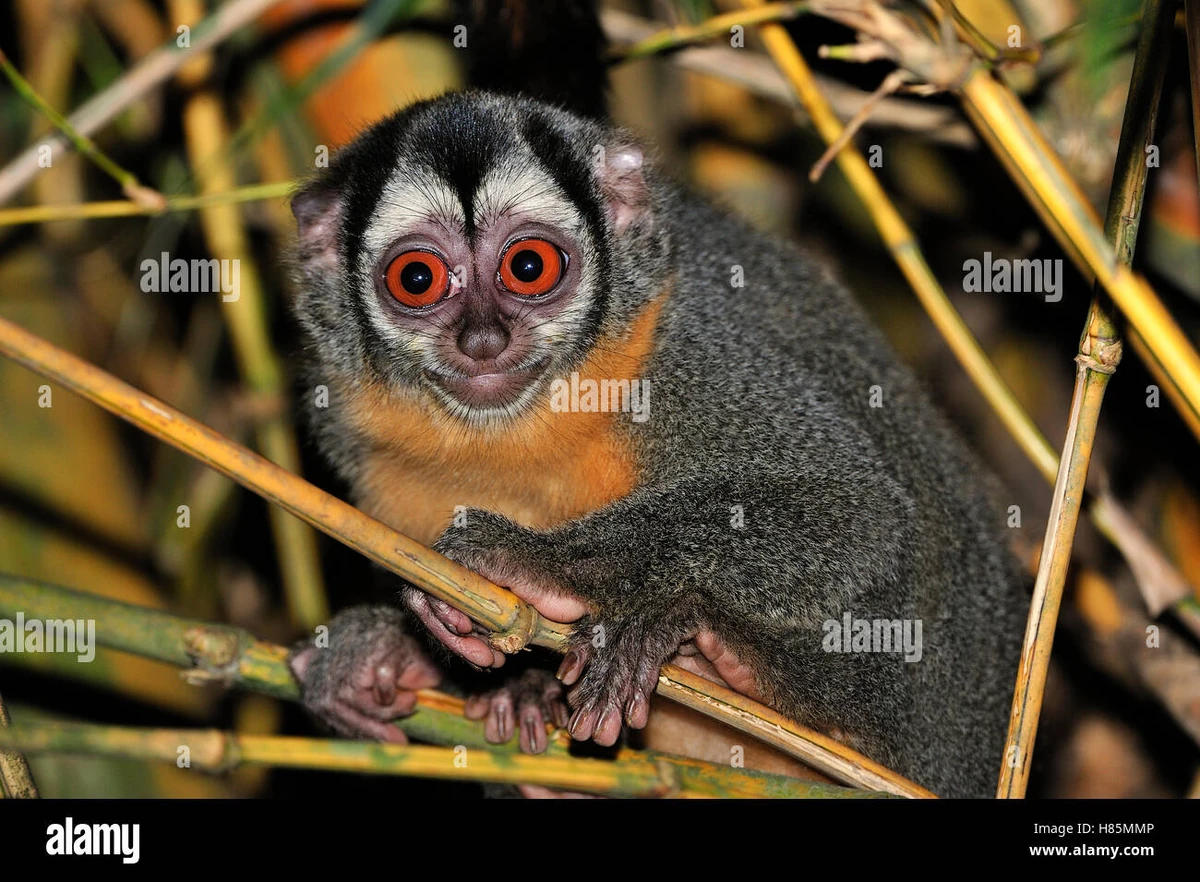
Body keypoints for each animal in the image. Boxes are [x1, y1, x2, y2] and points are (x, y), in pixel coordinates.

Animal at [283, 82, 1029, 797]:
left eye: (528, 266)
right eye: (418, 278)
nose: (484, 339)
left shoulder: (684, 347)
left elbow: (853, 505)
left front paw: (531, 563)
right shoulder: (345, 411)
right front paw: (409, 642)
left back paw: (721, 656)